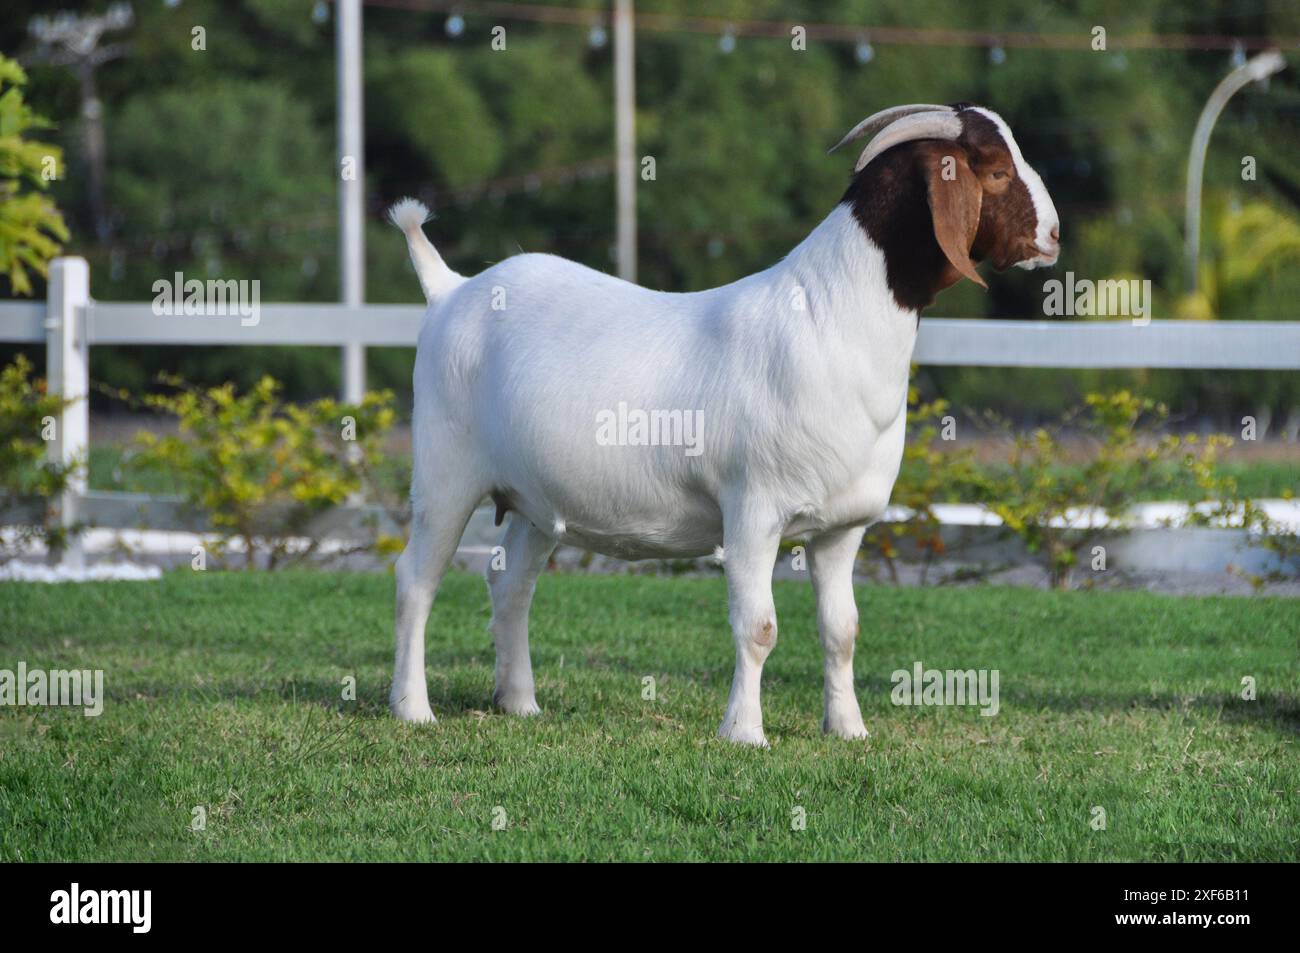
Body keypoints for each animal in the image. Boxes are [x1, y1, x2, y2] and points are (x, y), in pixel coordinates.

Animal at [387, 102, 1060, 745]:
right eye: (996, 171)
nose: (1053, 235)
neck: (831, 321)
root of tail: (449, 289)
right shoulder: (753, 511)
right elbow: (758, 627)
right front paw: (745, 732)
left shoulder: (843, 528)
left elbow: (842, 631)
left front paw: (848, 728)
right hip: (445, 473)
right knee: (416, 581)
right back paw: (414, 708)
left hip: (532, 501)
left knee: (511, 588)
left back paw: (520, 702)